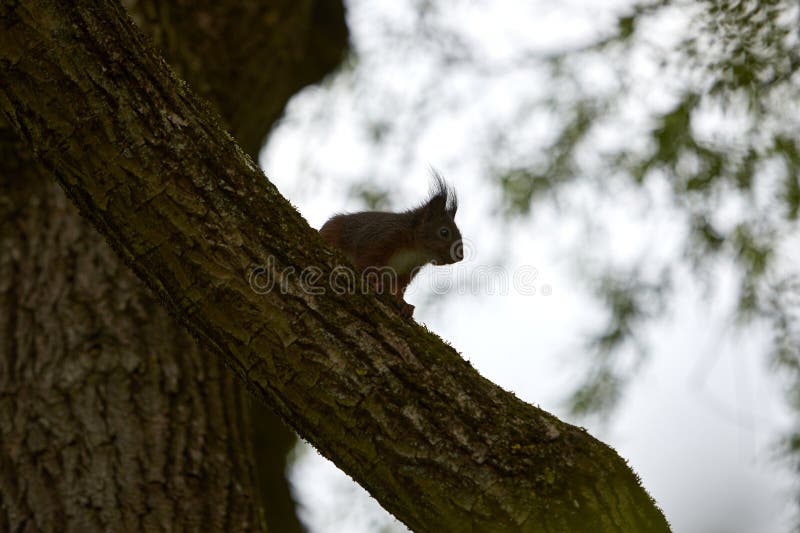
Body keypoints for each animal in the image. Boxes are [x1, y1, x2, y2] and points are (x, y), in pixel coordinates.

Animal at [319, 172, 464, 317]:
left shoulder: (409, 269)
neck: (415, 250)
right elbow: (367, 261)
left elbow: (399, 287)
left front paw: (404, 304)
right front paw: (375, 280)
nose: (460, 256)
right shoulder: (380, 239)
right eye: (444, 232)